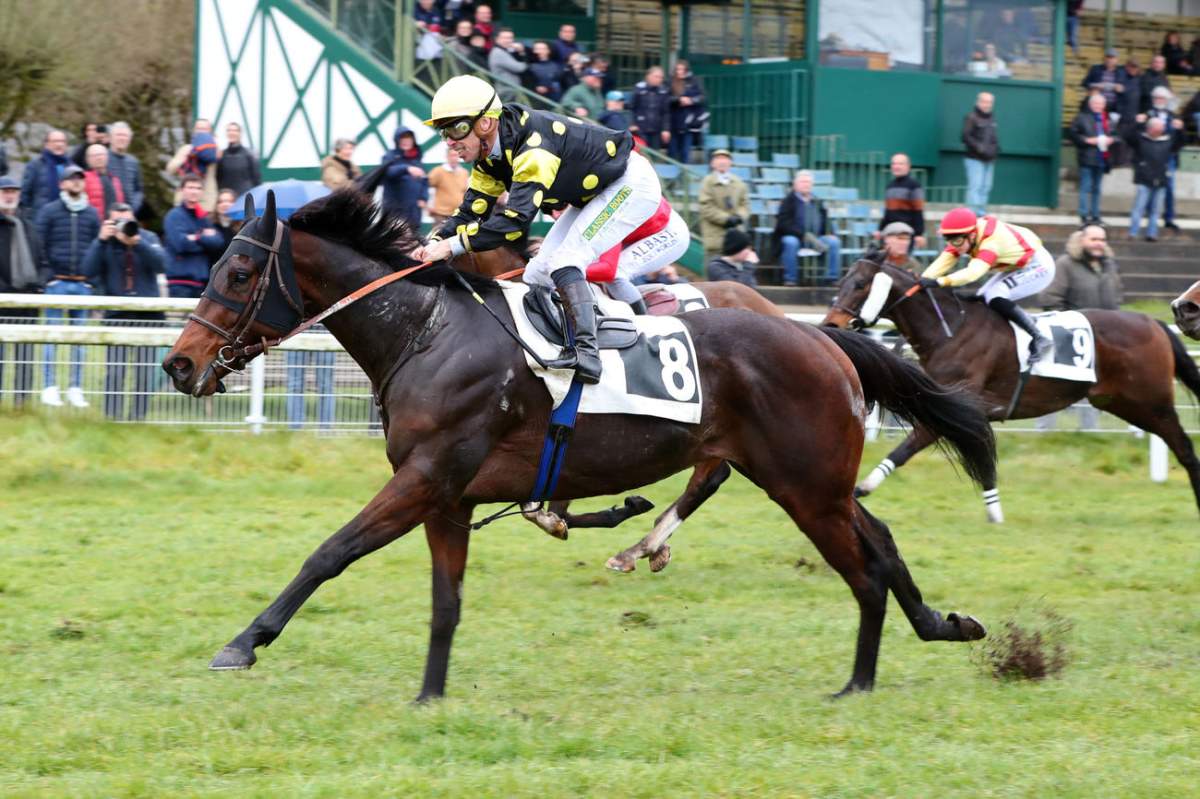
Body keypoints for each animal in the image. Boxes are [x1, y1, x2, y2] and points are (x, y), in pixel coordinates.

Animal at [162, 189, 998, 699]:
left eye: (240, 269)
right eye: (214, 262)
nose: (179, 364)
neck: (425, 331)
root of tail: (821, 338)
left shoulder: (425, 478)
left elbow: (329, 552)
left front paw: (244, 642)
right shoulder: (448, 494)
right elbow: (445, 601)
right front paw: (431, 694)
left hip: (805, 485)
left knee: (860, 568)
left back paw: (856, 677)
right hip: (814, 480)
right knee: (879, 539)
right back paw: (941, 624)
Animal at [824, 257, 1200, 520]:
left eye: (860, 284)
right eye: (842, 281)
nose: (832, 324)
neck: (950, 331)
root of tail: (1153, 322)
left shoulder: (950, 406)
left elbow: (905, 449)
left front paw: (862, 488)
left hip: (1152, 403)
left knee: (1184, 448)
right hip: (1123, 403)